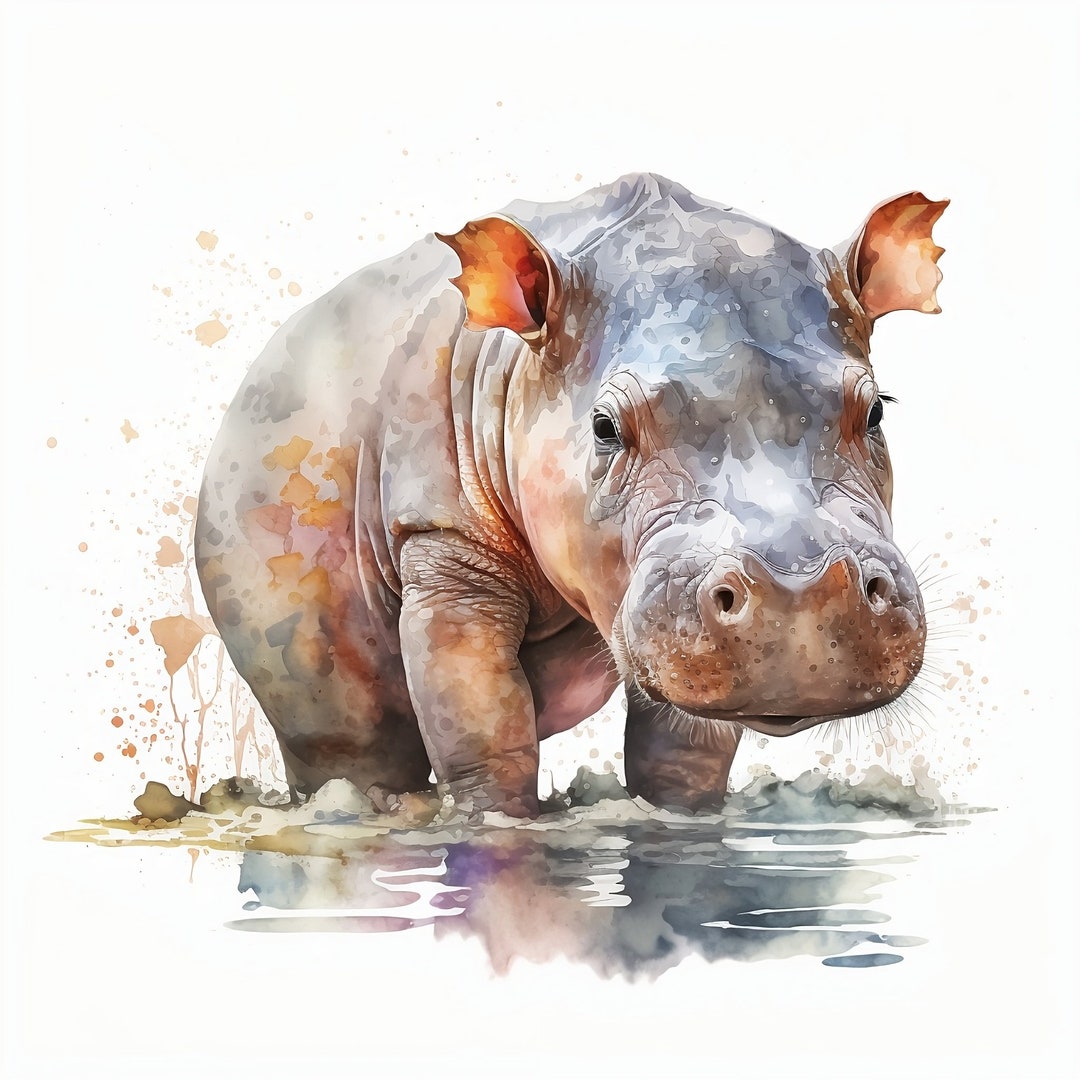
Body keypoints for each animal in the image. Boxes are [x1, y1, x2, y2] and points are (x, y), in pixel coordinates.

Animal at [195, 173, 947, 818]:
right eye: (604, 427)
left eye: (876, 411)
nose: (800, 597)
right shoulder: (445, 538)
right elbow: (486, 730)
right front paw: (499, 830)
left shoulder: (662, 598)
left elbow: (683, 752)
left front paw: (680, 824)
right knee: (349, 739)